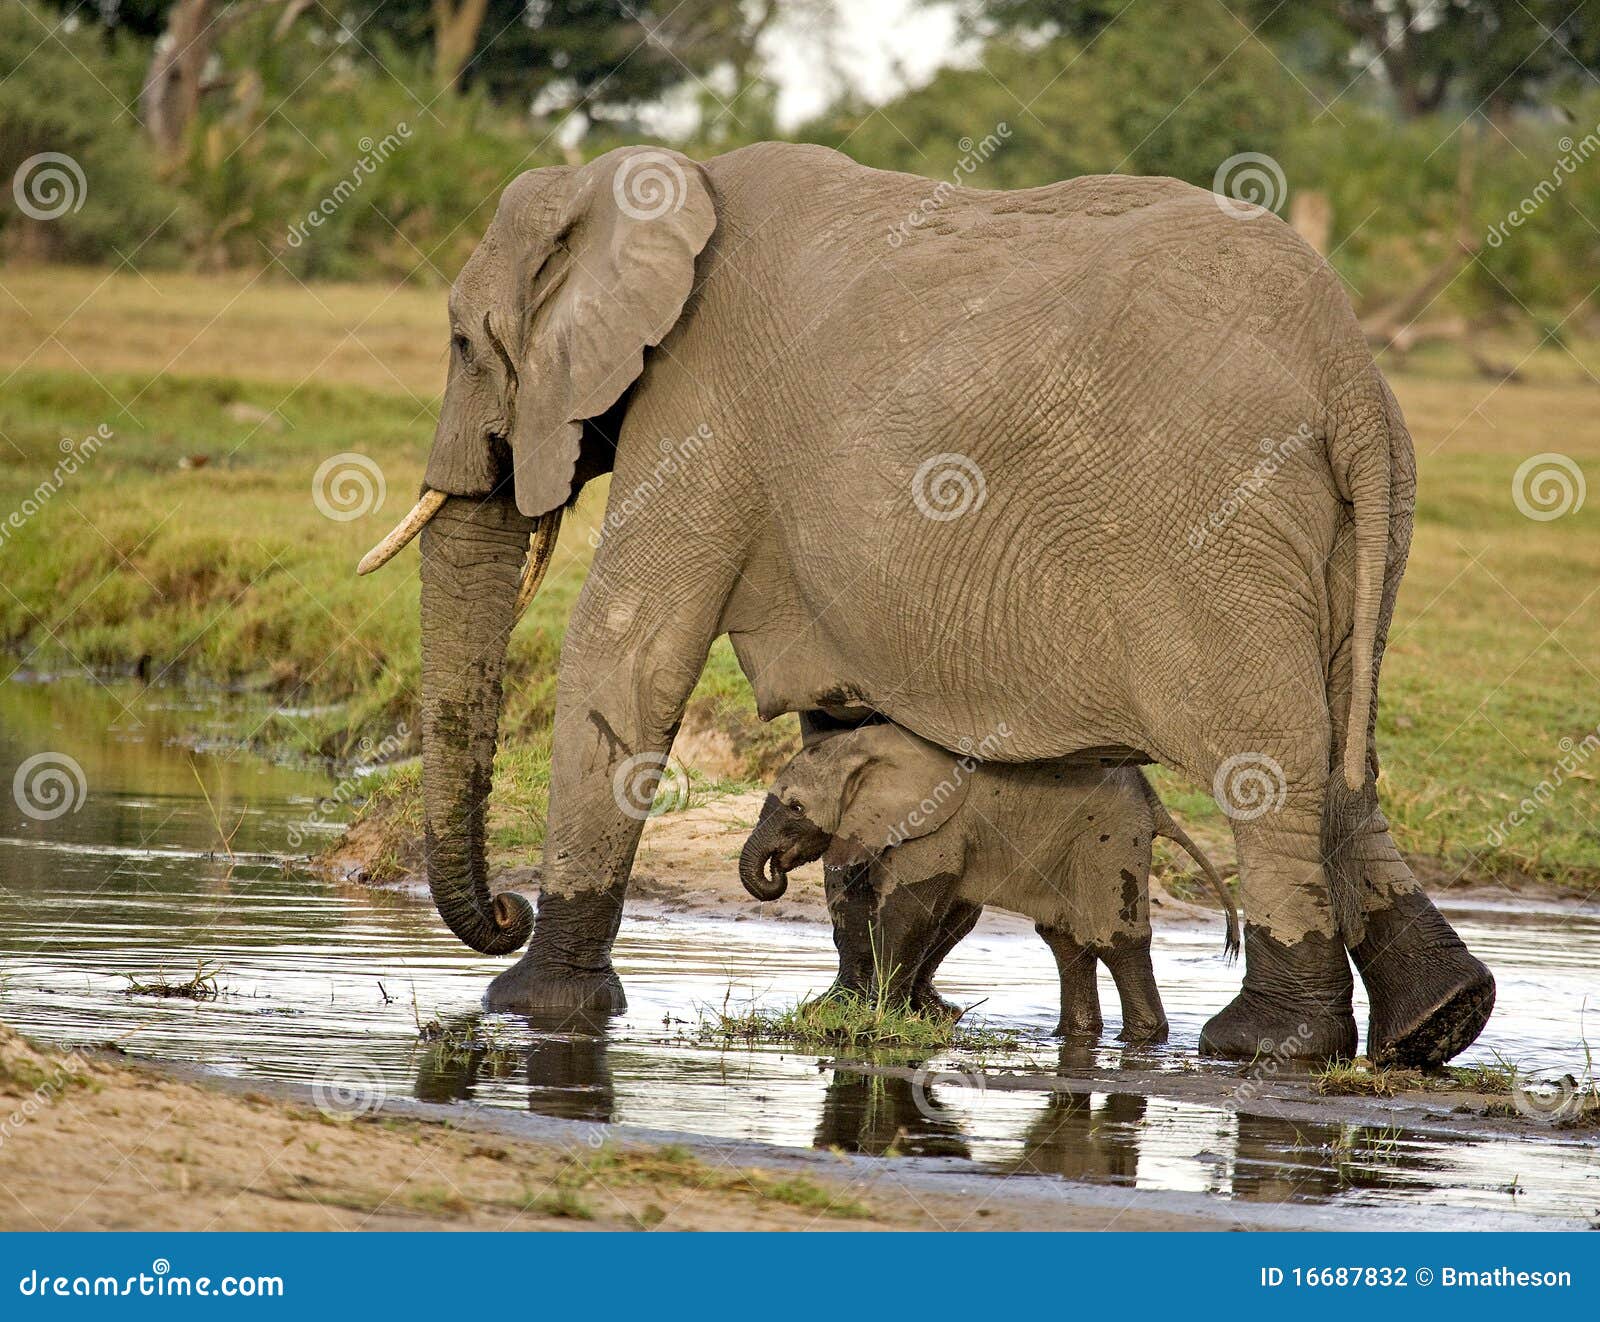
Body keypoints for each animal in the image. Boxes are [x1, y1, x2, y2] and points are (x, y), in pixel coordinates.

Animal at [737, 722, 1239, 1042]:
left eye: (796, 808)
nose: (776, 871)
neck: (865, 748)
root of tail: (1155, 803)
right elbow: (933, 911)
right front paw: (922, 1016)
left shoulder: (939, 821)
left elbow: (911, 909)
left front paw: (879, 1019)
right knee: (1065, 938)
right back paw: (1076, 1035)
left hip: (1111, 839)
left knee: (1116, 939)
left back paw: (1141, 1039)